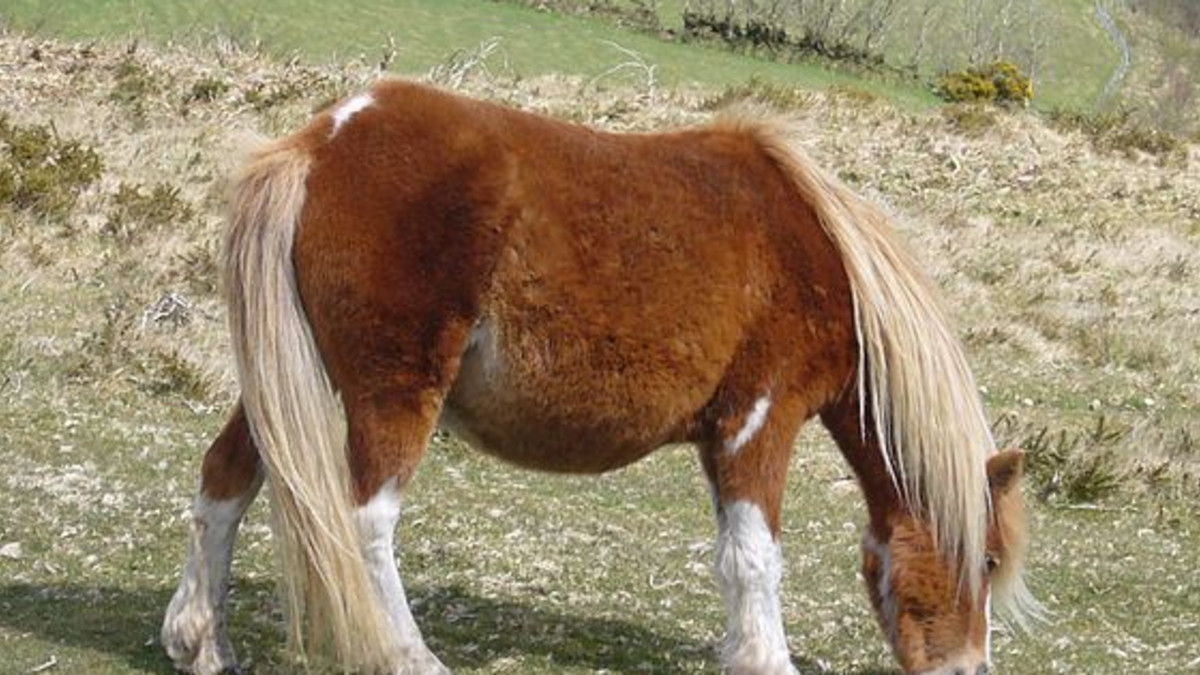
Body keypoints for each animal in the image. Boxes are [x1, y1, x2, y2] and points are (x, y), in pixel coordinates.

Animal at [160, 80, 1035, 675]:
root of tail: (322, 142)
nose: (968, 668)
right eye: (988, 561)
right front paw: (765, 658)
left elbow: (734, 554)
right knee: (364, 523)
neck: (818, 256)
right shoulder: (761, 419)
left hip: (296, 379)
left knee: (225, 480)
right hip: (390, 395)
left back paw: (200, 639)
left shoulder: (725, 434)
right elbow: (755, 557)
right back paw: (403, 654)